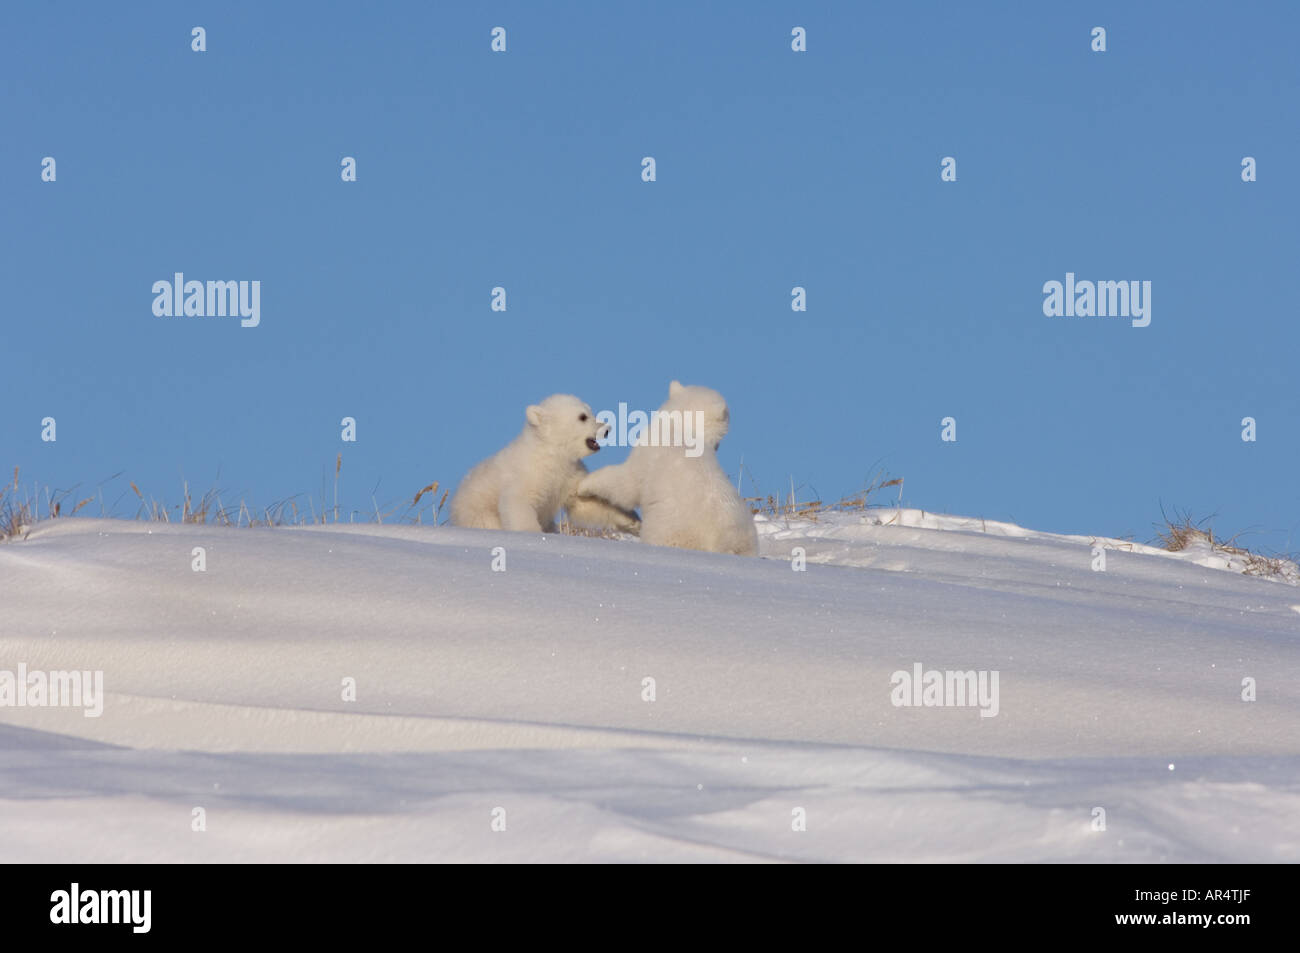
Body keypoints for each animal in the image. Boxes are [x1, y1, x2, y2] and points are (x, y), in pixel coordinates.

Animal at [449, 393, 641, 534]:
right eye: (582, 416)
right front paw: (532, 532)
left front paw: (632, 521)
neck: (551, 452)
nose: (607, 428)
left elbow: (585, 504)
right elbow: (519, 501)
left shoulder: (569, 475)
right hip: (479, 512)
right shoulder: (530, 473)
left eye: (590, 411)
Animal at [578, 381, 758, 556]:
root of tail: (725, 543)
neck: (683, 429)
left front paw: (584, 486)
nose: (717, 447)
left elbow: (626, 485)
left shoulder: (648, 456)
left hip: (672, 529)